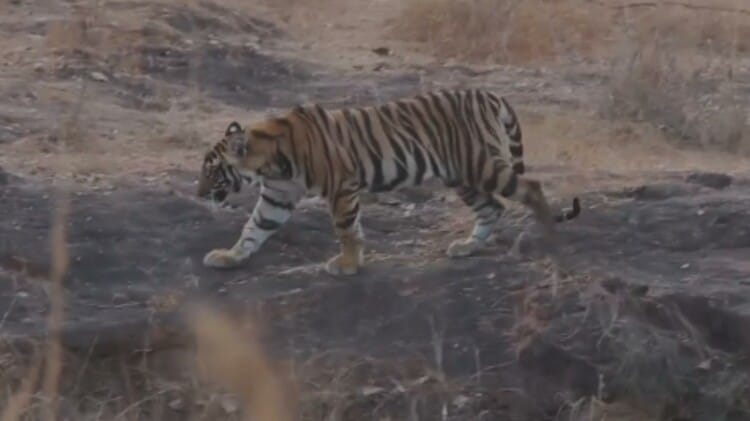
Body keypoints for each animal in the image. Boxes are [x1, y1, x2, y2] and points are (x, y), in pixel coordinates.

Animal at [197, 89, 581, 275]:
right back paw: (467, 246)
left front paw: (347, 265)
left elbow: (346, 228)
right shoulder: (278, 196)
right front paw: (230, 256)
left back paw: (550, 238)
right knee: (493, 208)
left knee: (531, 187)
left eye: (213, 170)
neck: (269, 163)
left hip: (481, 164)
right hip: (462, 175)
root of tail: (489, 96)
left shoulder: (342, 185)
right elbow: (254, 228)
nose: (198, 194)